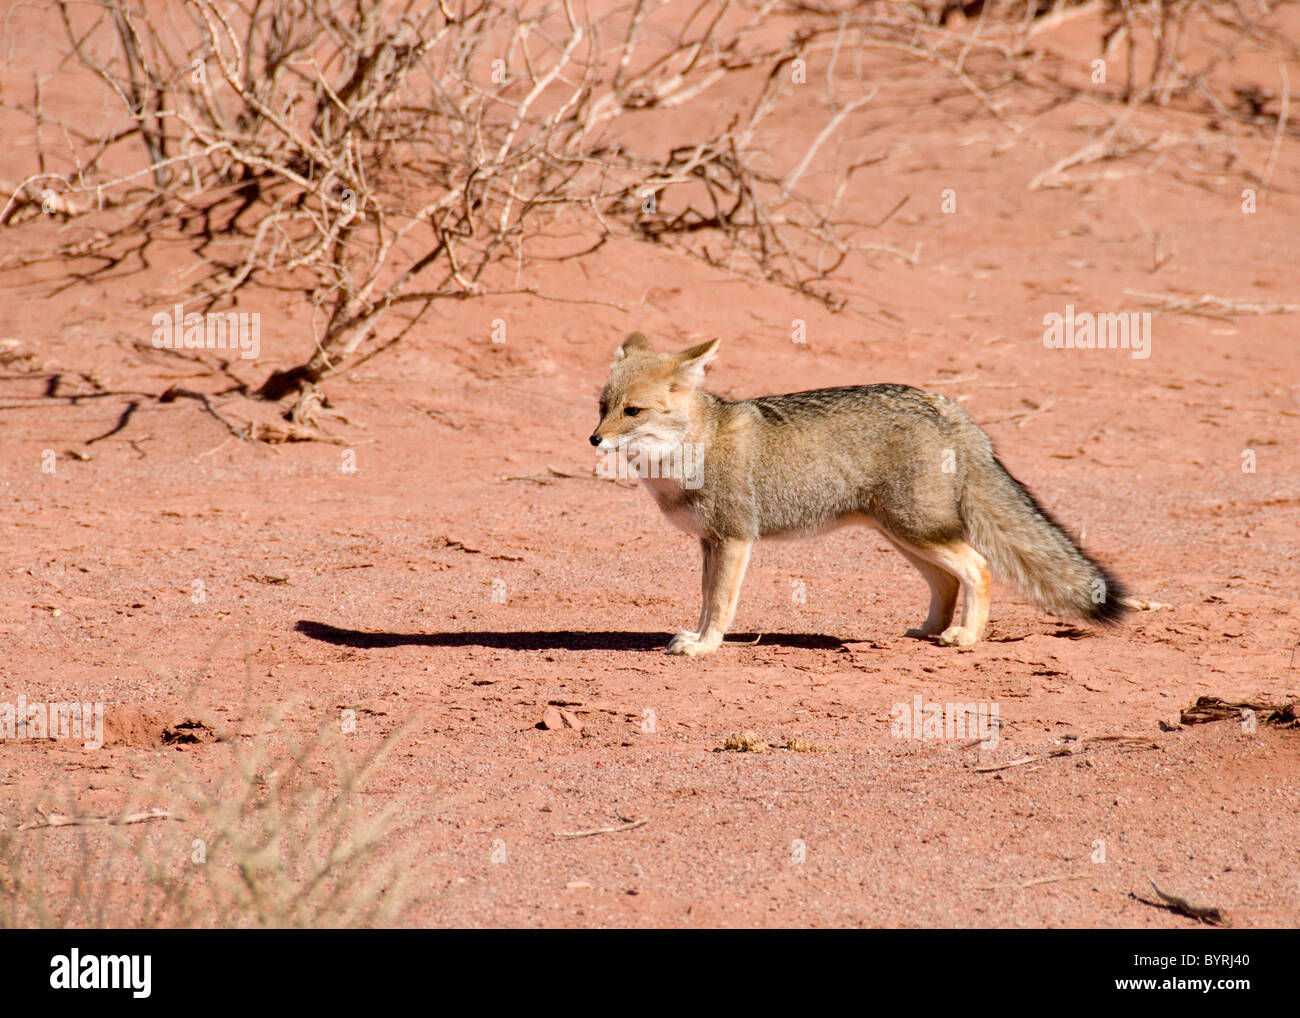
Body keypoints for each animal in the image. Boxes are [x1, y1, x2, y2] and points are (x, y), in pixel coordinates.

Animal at [589, 331, 1129, 657]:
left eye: (632, 412)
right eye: (602, 407)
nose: (594, 439)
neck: (694, 447)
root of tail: (946, 405)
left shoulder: (734, 539)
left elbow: (719, 604)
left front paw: (705, 647)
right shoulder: (709, 543)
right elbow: (705, 599)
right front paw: (697, 636)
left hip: (918, 530)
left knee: (977, 567)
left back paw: (966, 637)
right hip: (903, 535)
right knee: (947, 580)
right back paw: (929, 631)